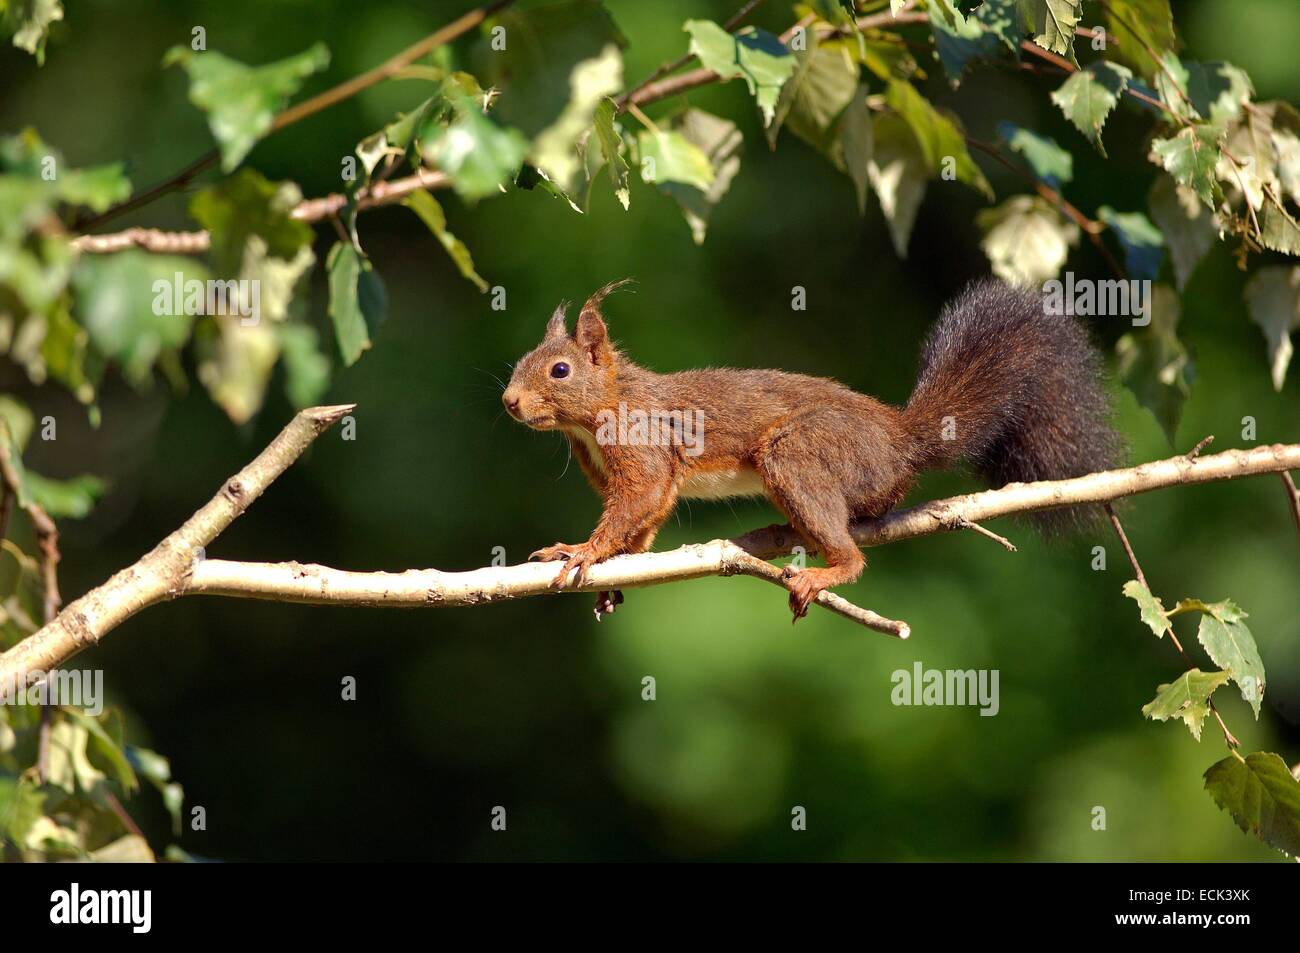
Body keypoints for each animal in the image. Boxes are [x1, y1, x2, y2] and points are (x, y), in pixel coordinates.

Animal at [503, 278, 1120, 621]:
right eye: (520, 362)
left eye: (560, 370)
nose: (509, 402)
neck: (597, 413)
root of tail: (900, 441)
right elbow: (646, 523)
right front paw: (614, 573)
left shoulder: (642, 449)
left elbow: (639, 500)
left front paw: (581, 550)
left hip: (801, 453)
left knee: (849, 549)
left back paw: (827, 568)